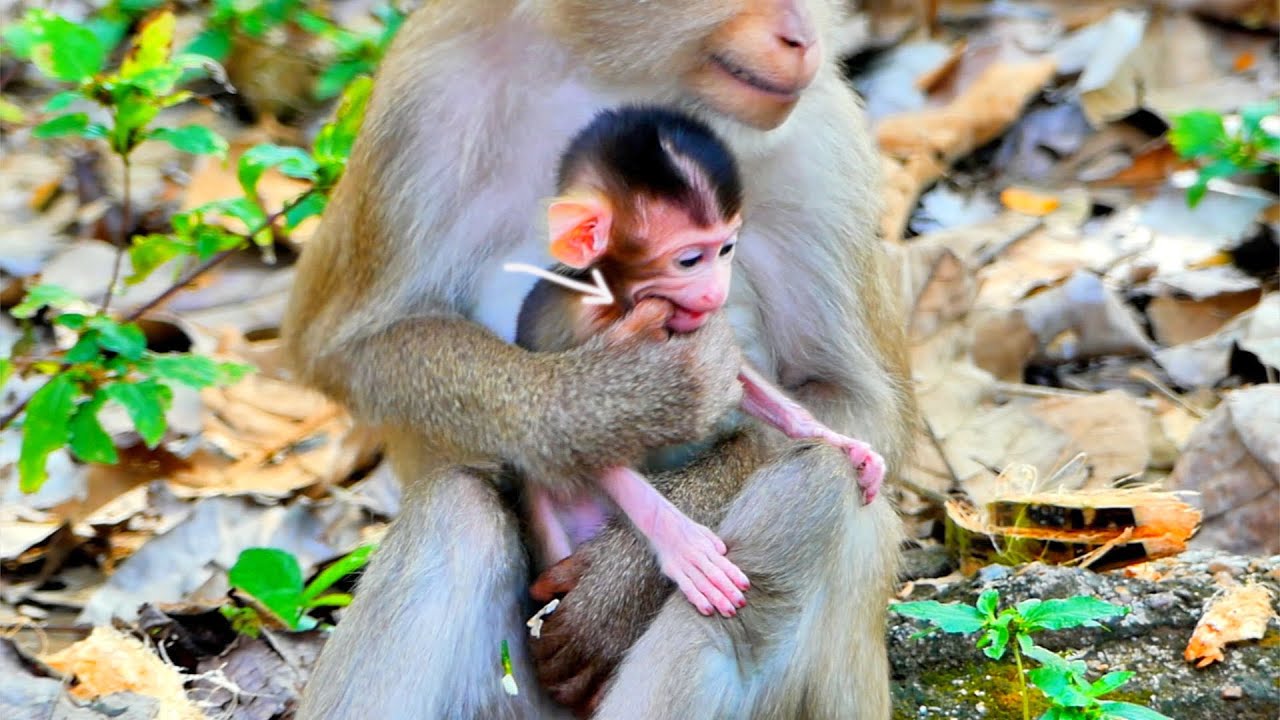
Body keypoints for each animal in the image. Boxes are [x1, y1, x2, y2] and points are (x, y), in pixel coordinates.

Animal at [513, 106, 886, 620]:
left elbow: (739, 377)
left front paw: (837, 440)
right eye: (690, 260)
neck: (620, 301)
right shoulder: (579, 334)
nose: (715, 293)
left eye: (726, 249)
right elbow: (580, 438)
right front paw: (681, 544)